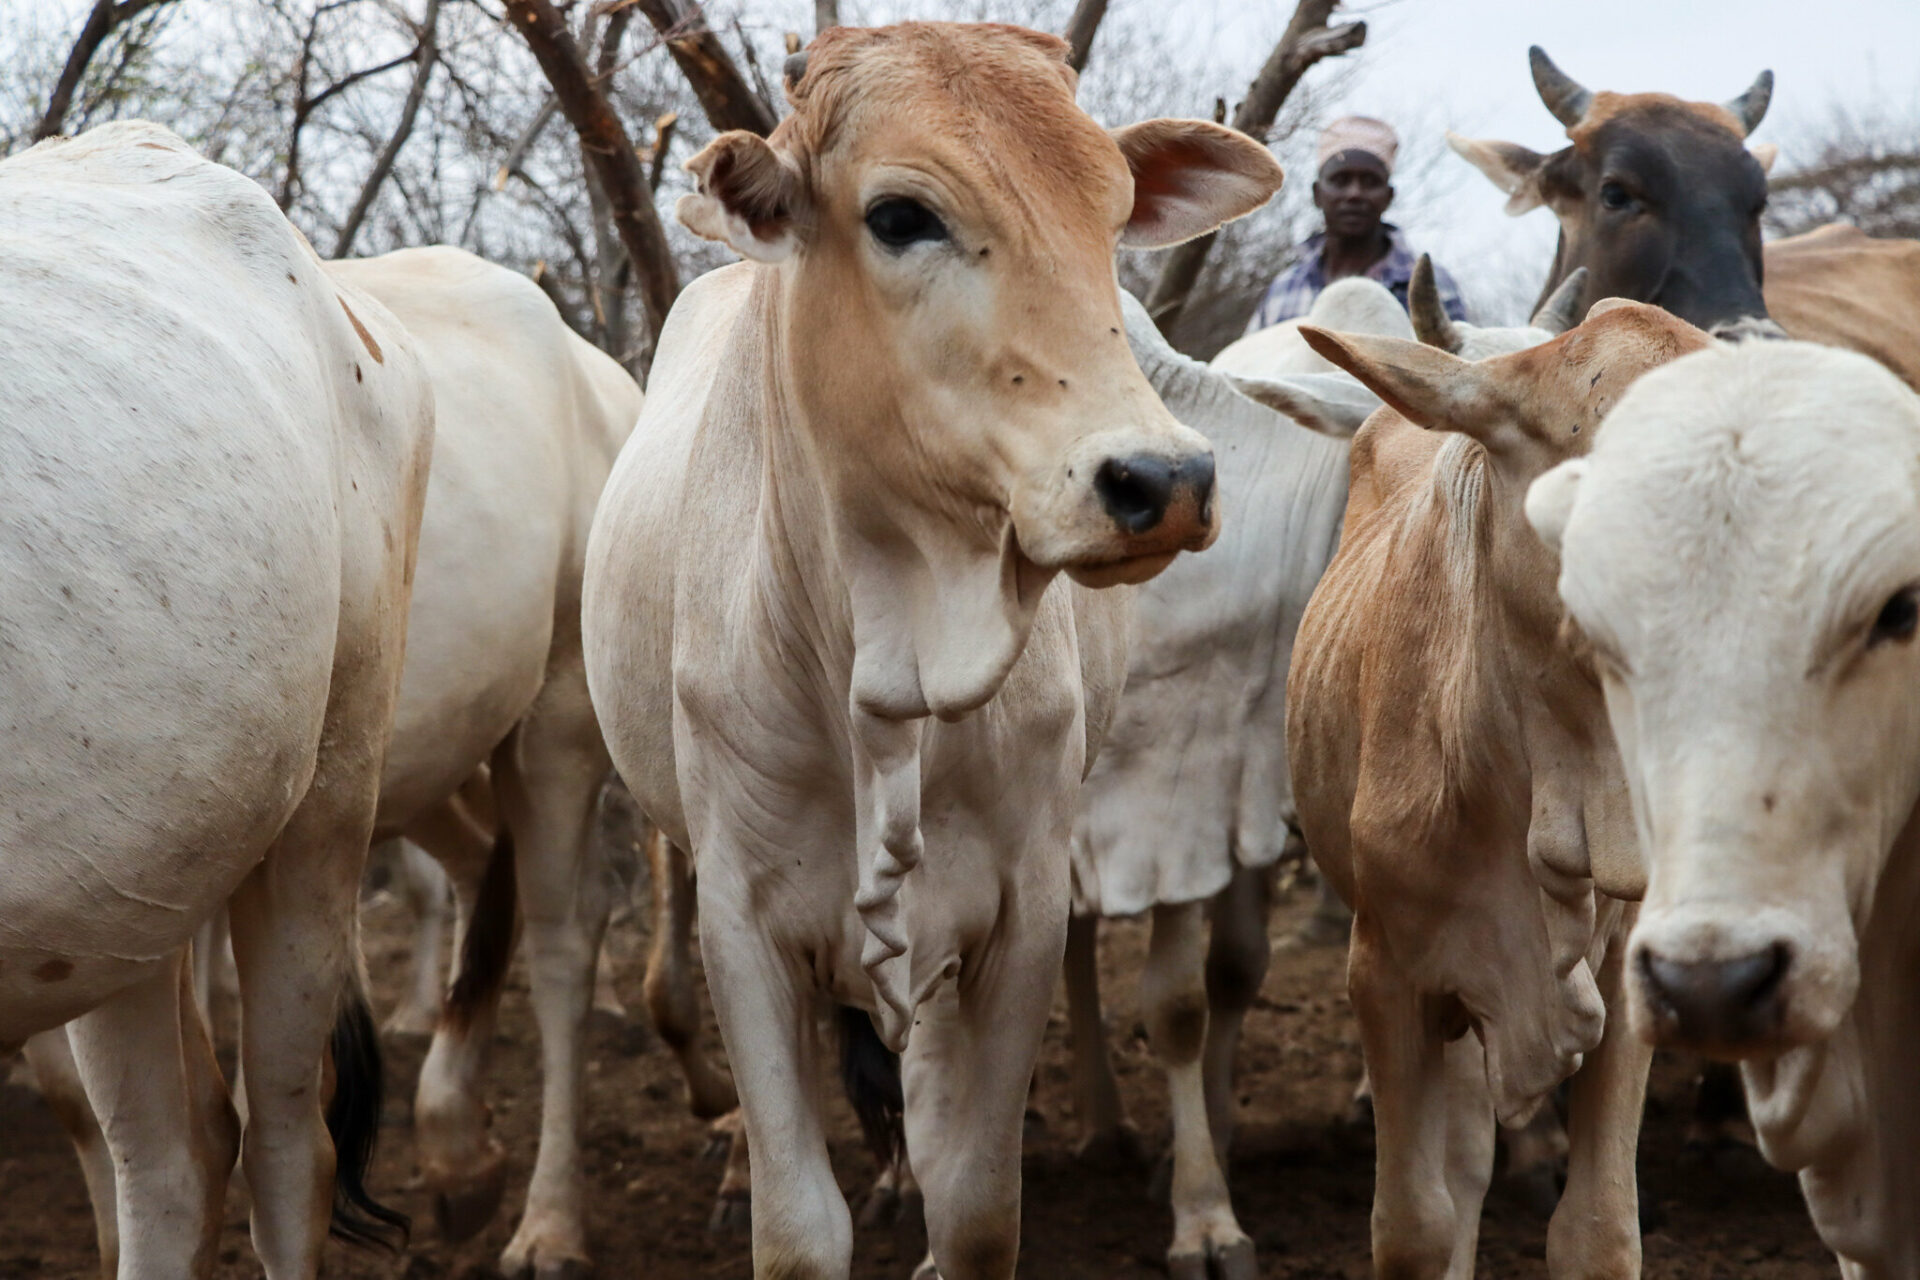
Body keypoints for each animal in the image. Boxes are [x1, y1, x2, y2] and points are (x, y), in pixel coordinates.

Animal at [580, 22, 1284, 1280]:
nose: (1163, 480)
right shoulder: (743, 924)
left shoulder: (1019, 912)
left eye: (1112, 212)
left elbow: (978, 1204)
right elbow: (797, 1227)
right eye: (903, 214)